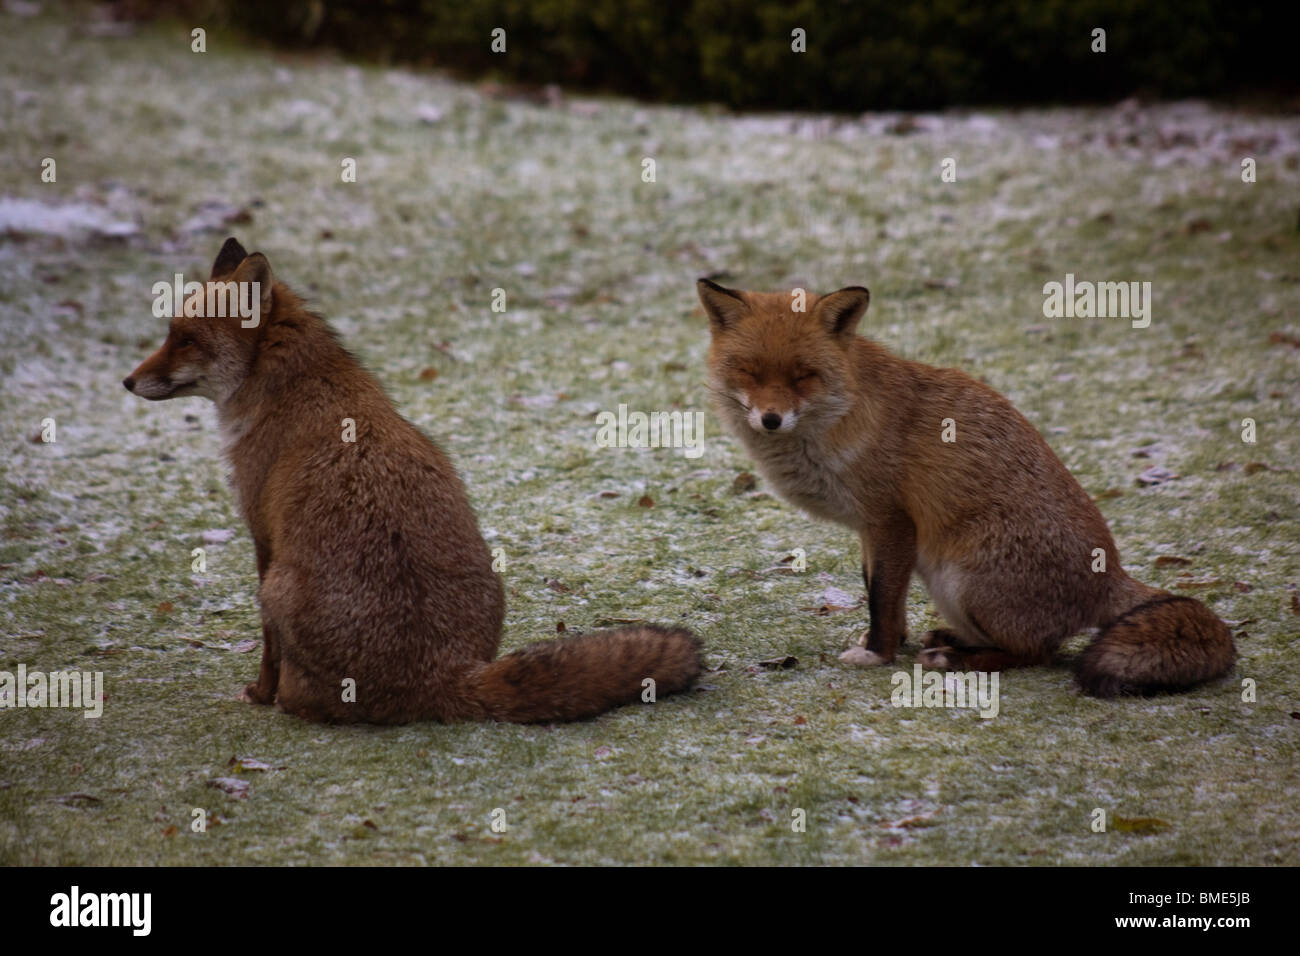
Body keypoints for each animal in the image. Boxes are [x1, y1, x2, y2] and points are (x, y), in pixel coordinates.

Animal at [121, 237, 702, 724]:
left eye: (184, 339)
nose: (126, 381)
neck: (290, 387)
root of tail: (442, 676)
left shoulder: (262, 538)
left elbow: (267, 651)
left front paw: (258, 695)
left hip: (278, 587)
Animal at [698, 278, 1236, 697]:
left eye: (803, 376)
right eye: (750, 372)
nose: (770, 419)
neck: (839, 422)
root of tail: (1111, 575)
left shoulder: (891, 520)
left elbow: (882, 599)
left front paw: (877, 654)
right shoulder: (871, 530)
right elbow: (878, 592)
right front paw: (888, 642)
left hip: (959, 578)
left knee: (1036, 653)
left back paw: (953, 659)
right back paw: (950, 642)